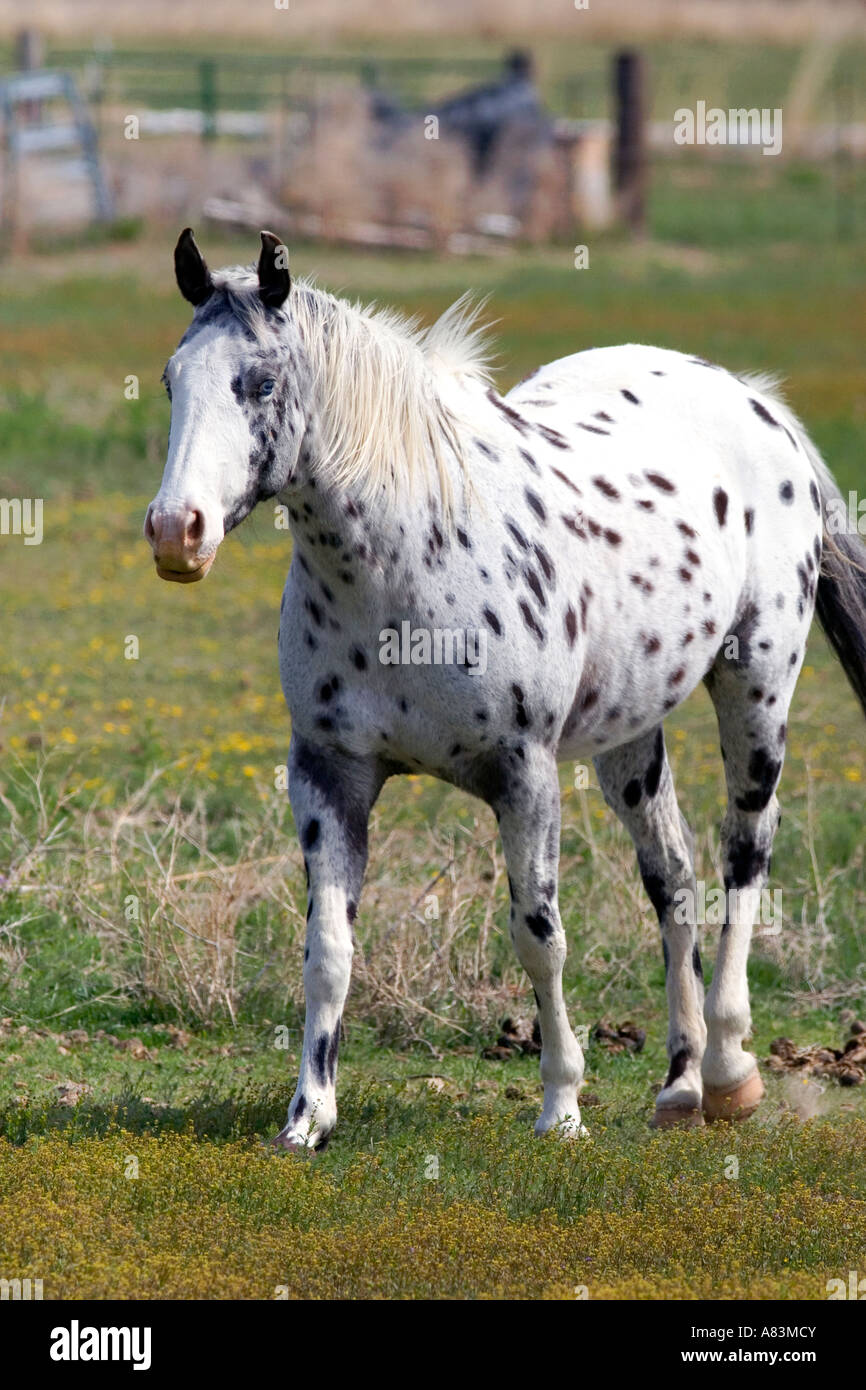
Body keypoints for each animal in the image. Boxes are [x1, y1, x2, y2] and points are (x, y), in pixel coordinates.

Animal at [145, 228, 866, 1147]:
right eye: (172, 380)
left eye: (260, 382)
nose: (176, 532)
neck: (406, 561)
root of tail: (755, 401)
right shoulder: (329, 776)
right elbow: (328, 951)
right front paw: (308, 1117)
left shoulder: (524, 776)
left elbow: (539, 938)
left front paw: (561, 1106)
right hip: (631, 737)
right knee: (673, 876)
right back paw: (679, 1086)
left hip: (757, 687)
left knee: (745, 856)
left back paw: (731, 1072)